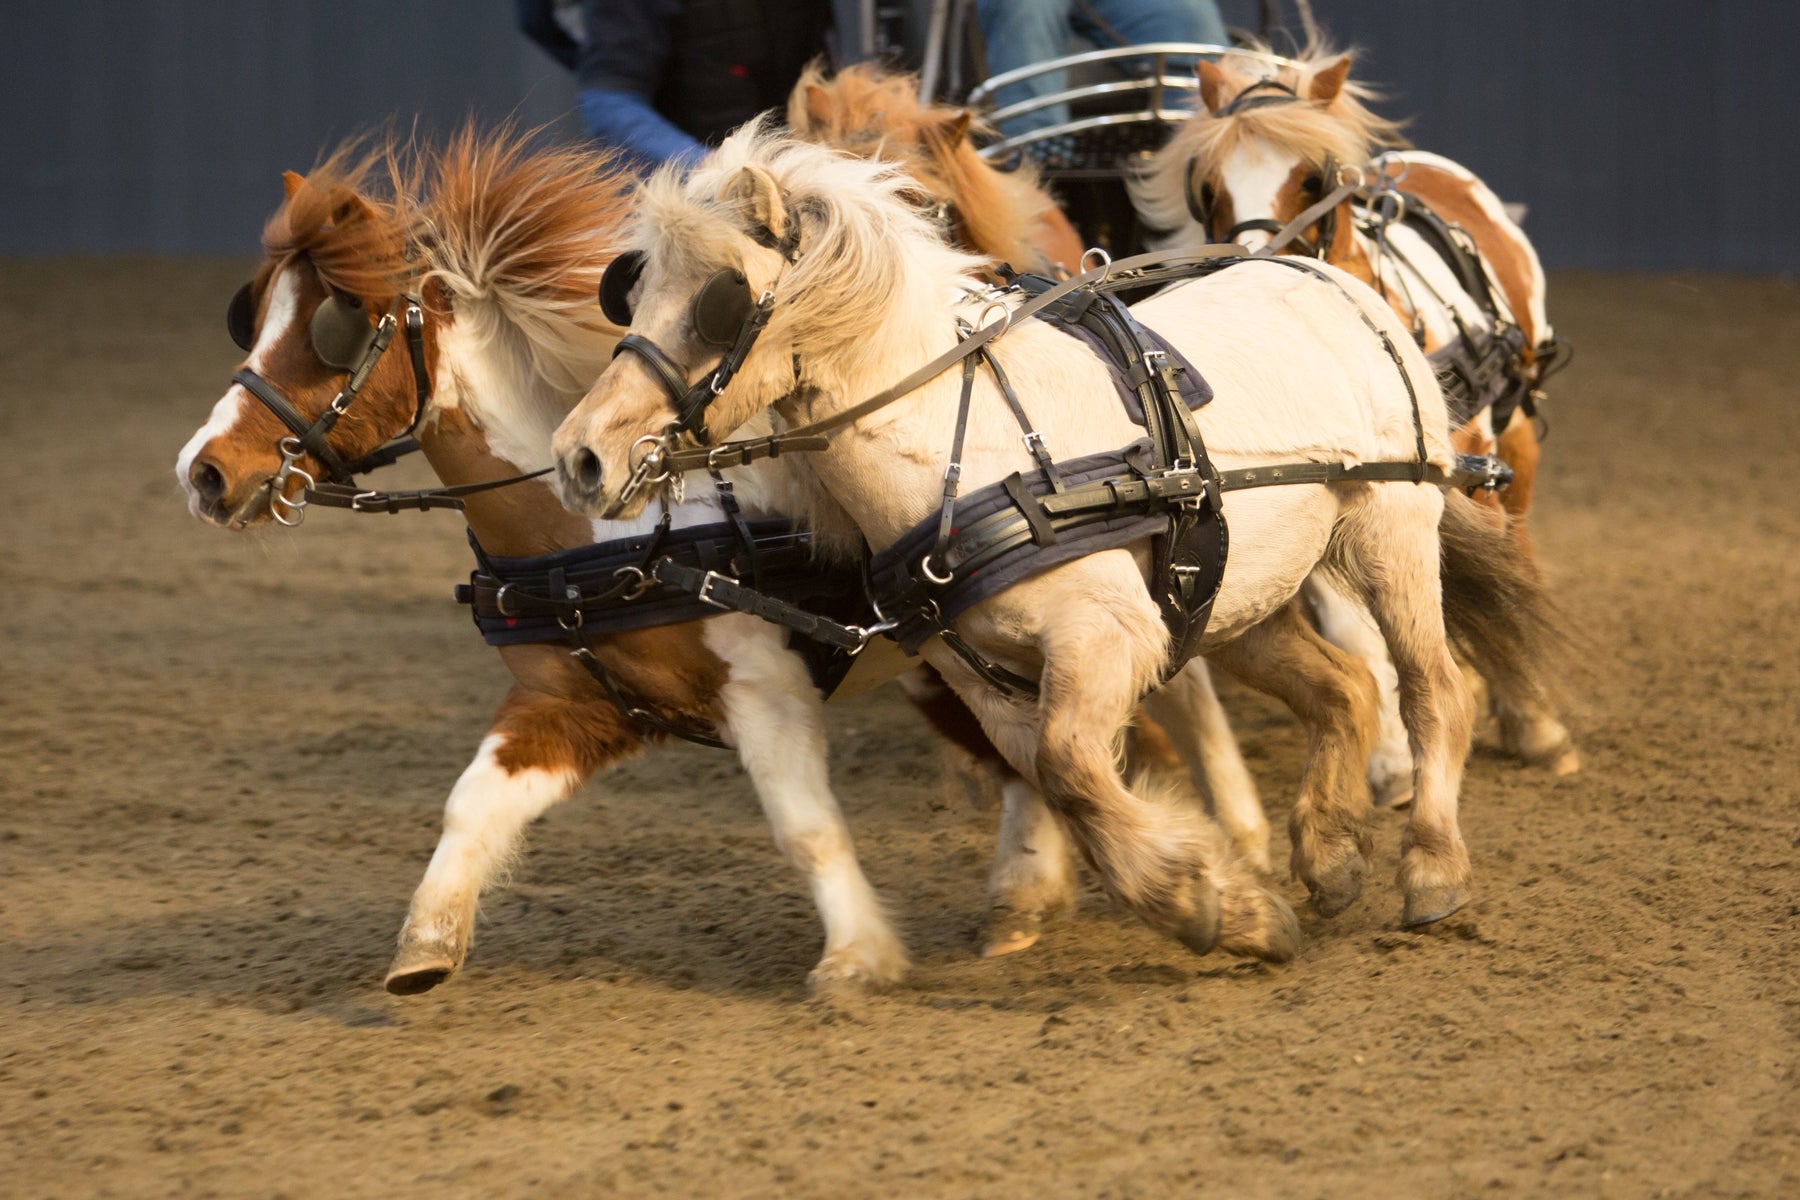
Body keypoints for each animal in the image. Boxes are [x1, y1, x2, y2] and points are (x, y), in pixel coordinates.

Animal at [551, 120, 1559, 945]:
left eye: (717, 303)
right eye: (632, 293)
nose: (580, 456)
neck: (958, 456)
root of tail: (1327, 274)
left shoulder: (1103, 637)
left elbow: (1073, 768)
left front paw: (1203, 900)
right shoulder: (985, 674)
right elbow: (1054, 780)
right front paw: (1217, 899)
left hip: (1391, 527)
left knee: (1432, 689)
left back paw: (1431, 868)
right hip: (1236, 594)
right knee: (1344, 688)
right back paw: (1330, 855)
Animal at [1129, 45, 1577, 791]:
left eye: (1312, 177)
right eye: (1209, 188)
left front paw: (1517, 718)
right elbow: (1354, 629)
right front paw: (1392, 757)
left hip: (1513, 436)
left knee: (1516, 546)